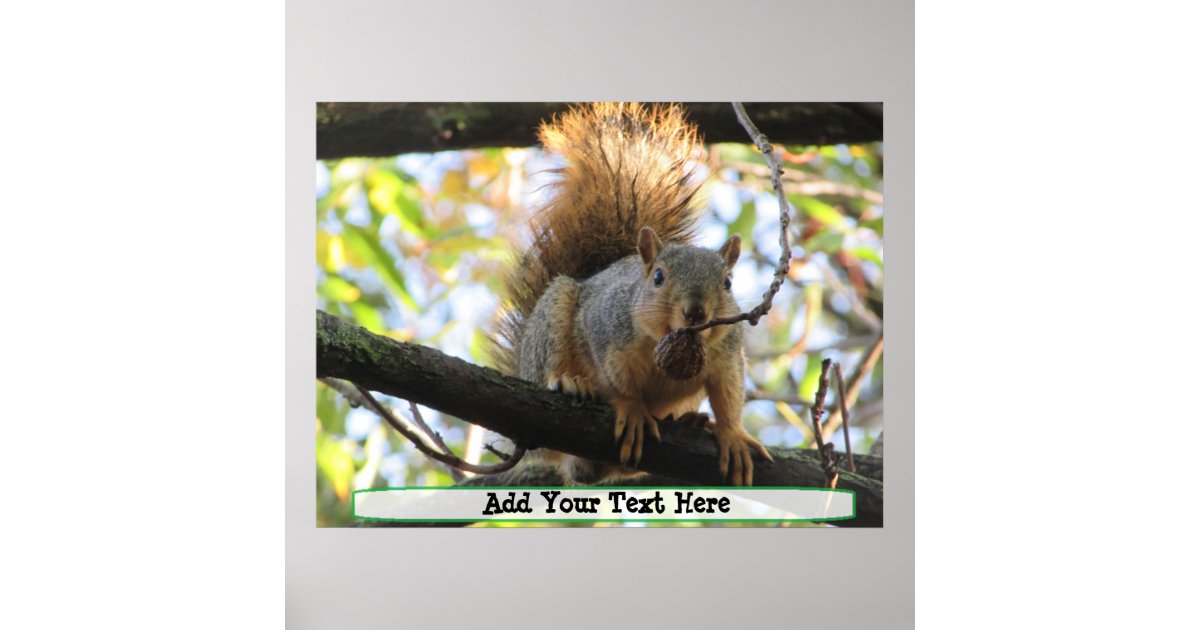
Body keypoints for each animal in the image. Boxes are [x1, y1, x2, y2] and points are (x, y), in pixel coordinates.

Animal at [495, 102, 772, 486]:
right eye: (658, 277)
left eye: (728, 283)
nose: (696, 312)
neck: (663, 341)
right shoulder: (606, 331)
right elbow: (618, 383)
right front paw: (633, 409)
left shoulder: (727, 355)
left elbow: (729, 394)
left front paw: (732, 434)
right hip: (551, 321)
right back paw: (568, 383)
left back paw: (691, 420)